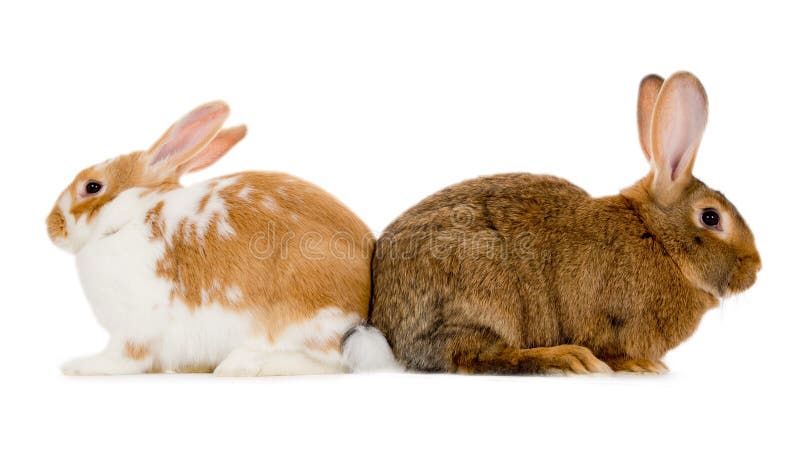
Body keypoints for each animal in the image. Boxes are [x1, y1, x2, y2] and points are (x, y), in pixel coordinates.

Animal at [46, 101, 386, 376]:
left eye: (92, 186)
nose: (51, 226)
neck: (130, 217)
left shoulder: (134, 326)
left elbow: (122, 356)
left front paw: (80, 366)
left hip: (304, 318)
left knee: (330, 361)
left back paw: (242, 365)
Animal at [347, 71, 761, 374]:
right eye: (711, 218)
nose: (755, 269)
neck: (658, 239)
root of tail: (384, 323)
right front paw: (640, 366)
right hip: (483, 293)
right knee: (474, 356)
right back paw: (566, 359)